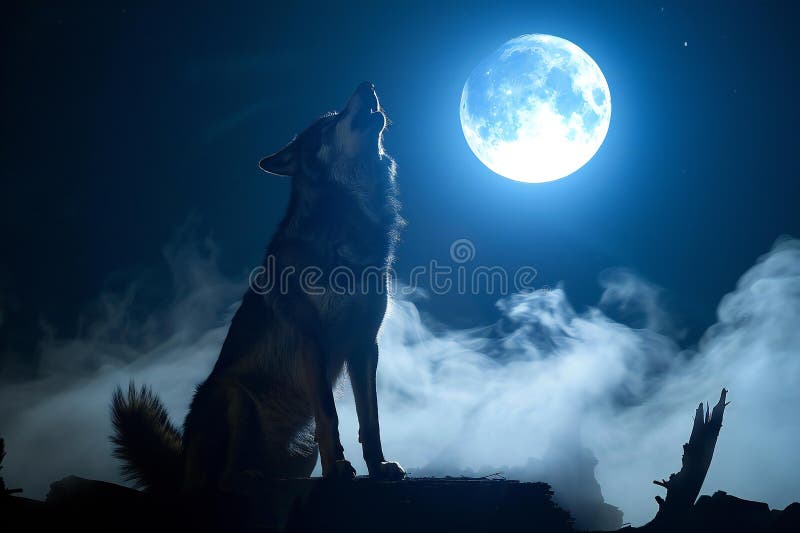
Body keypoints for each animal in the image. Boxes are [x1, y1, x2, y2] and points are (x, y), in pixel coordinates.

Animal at [111, 82, 405, 493]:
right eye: (329, 123)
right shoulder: (311, 338)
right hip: (235, 397)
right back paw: (247, 478)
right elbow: (330, 416)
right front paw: (336, 471)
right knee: (222, 479)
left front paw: (378, 468)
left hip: (297, 446)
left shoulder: (365, 345)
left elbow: (370, 420)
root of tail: (179, 470)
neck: (351, 226)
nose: (368, 85)